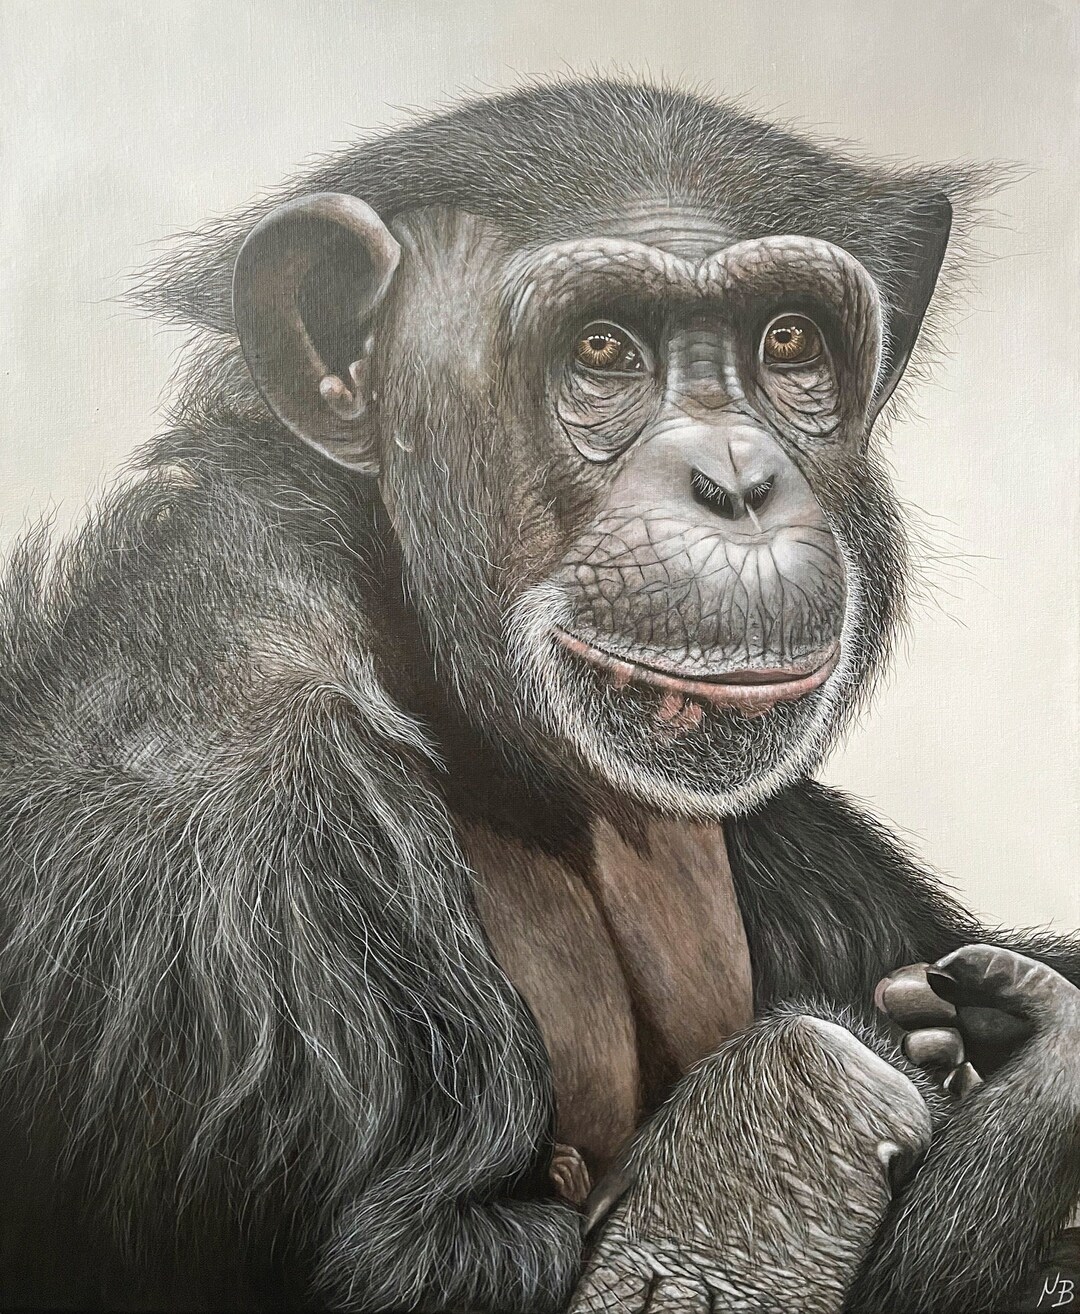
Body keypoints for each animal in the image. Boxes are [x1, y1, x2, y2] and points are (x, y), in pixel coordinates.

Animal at [0, 77, 1076, 1312]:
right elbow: (425, 1264)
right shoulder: (234, 843)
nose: (738, 480)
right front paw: (782, 1141)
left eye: (788, 340)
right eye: (602, 348)